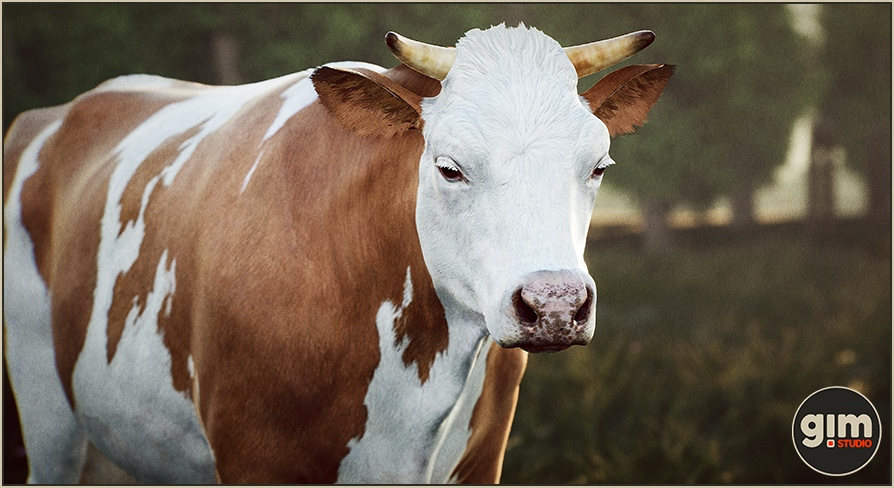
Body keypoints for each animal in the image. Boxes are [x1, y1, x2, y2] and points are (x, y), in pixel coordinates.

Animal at [3, 23, 673, 483]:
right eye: (450, 168)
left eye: (599, 166)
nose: (555, 304)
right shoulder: (255, 459)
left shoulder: (481, 462)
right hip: (45, 416)